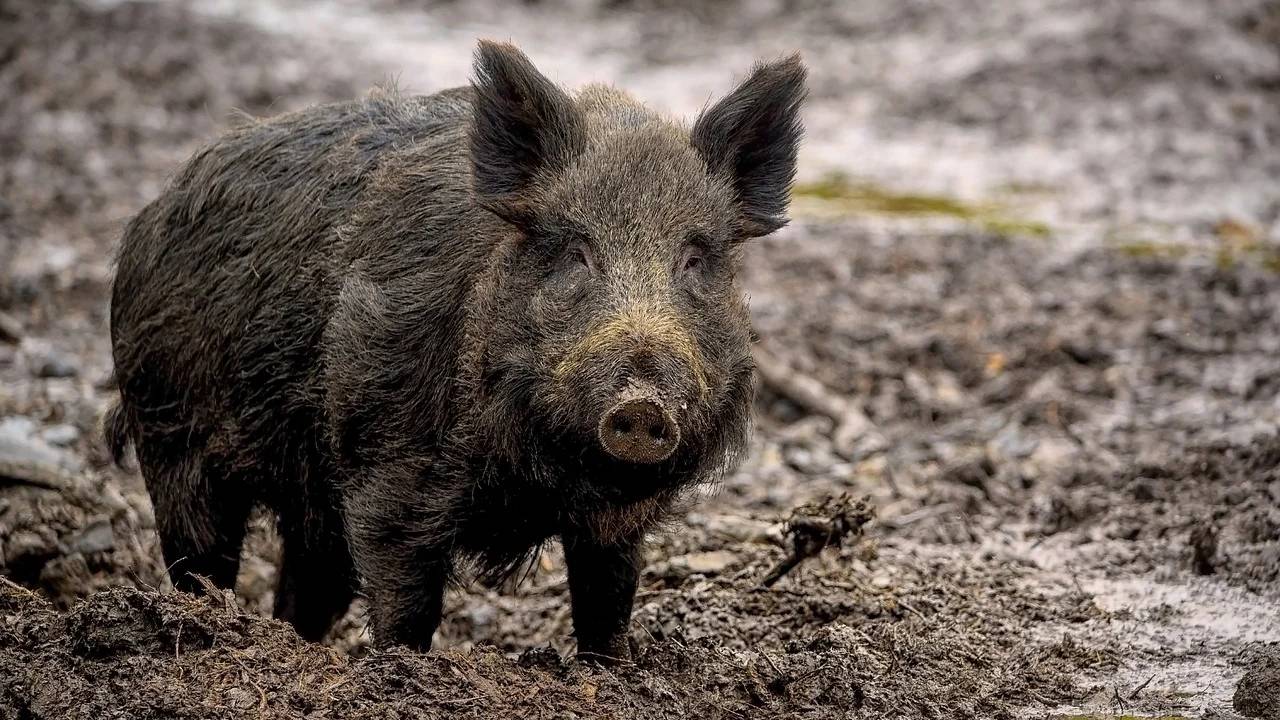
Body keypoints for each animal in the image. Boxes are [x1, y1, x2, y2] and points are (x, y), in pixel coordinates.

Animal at [104, 40, 805, 661]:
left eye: (694, 257)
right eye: (575, 251)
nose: (641, 404)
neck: (532, 478)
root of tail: (149, 214)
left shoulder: (616, 521)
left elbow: (607, 598)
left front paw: (612, 670)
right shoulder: (392, 463)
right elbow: (406, 594)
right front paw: (399, 669)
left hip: (307, 489)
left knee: (309, 579)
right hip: (172, 431)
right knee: (200, 554)